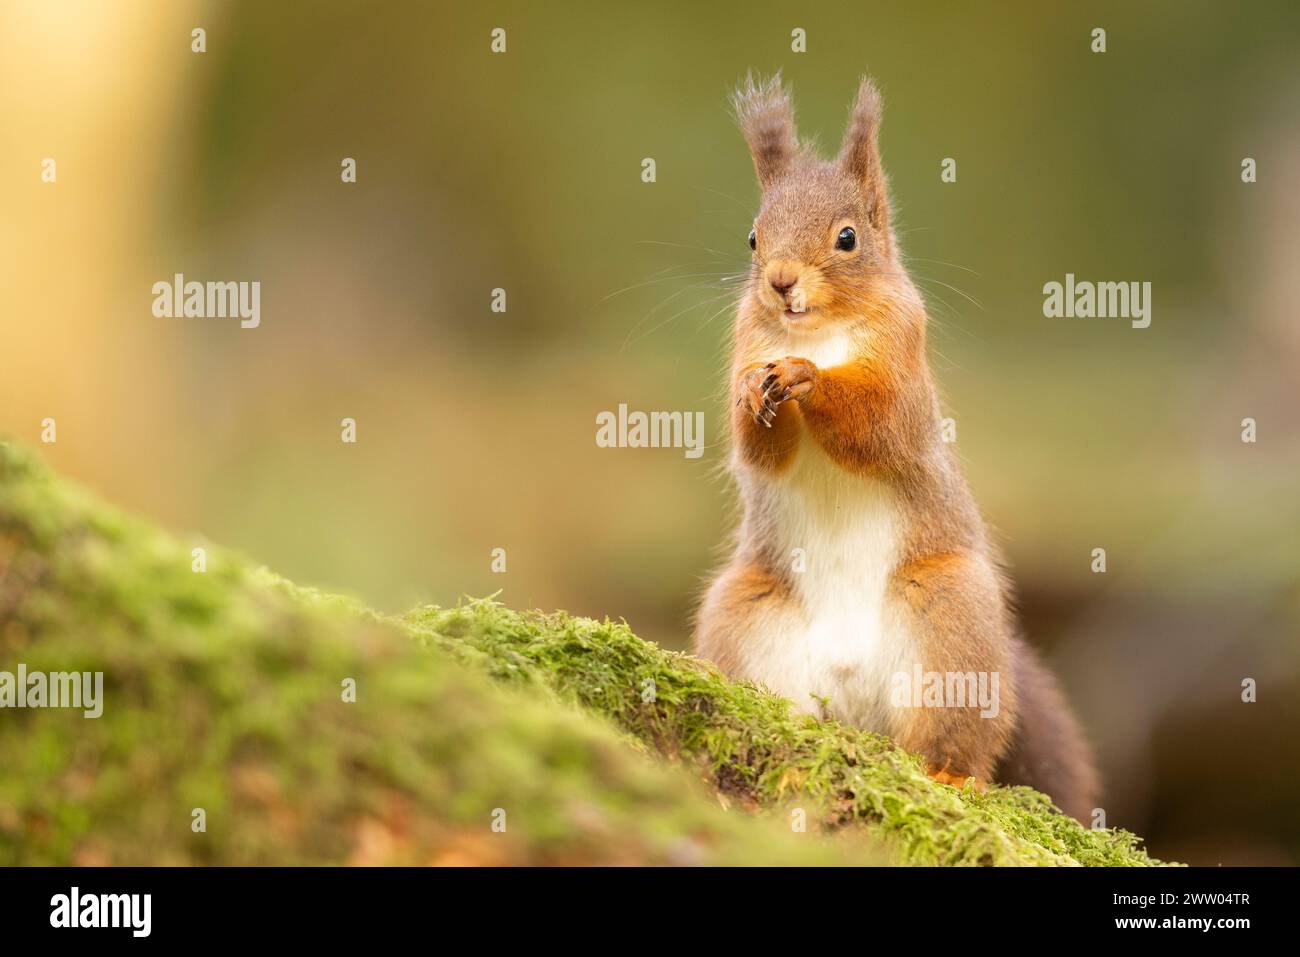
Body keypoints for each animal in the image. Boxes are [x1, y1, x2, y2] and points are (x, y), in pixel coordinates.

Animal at [694, 75, 1098, 821]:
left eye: (847, 238)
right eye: (753, 237)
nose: (781, 281)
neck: (819, 331)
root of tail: (853, 697)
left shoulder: (904, 372)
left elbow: (876, 424)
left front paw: (810, 379)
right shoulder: (747, 345)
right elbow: (759, 451)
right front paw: (752, 395)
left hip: (952, 624)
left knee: (953, 736)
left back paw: (948, 774)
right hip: (744, 617)